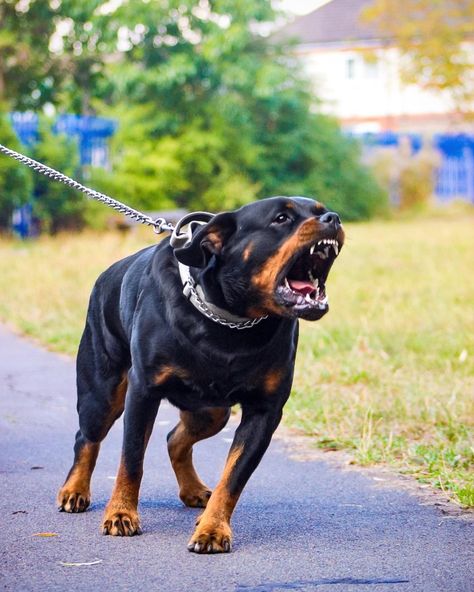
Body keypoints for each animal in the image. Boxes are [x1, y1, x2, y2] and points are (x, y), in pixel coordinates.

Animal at [58, 197, 344, 552]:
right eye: (281, 218)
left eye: (321, 209)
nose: (333, 218)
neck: (230, 322)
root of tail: (105, 275)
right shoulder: (143, 391)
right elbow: (132, 460)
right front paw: (121, 513)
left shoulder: (265, 412)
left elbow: (233, 478)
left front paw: (212, 528)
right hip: (103, 394)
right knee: (87, 436)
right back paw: (74, 490)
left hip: (212, 411)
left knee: (175, 439)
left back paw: (193, 491)